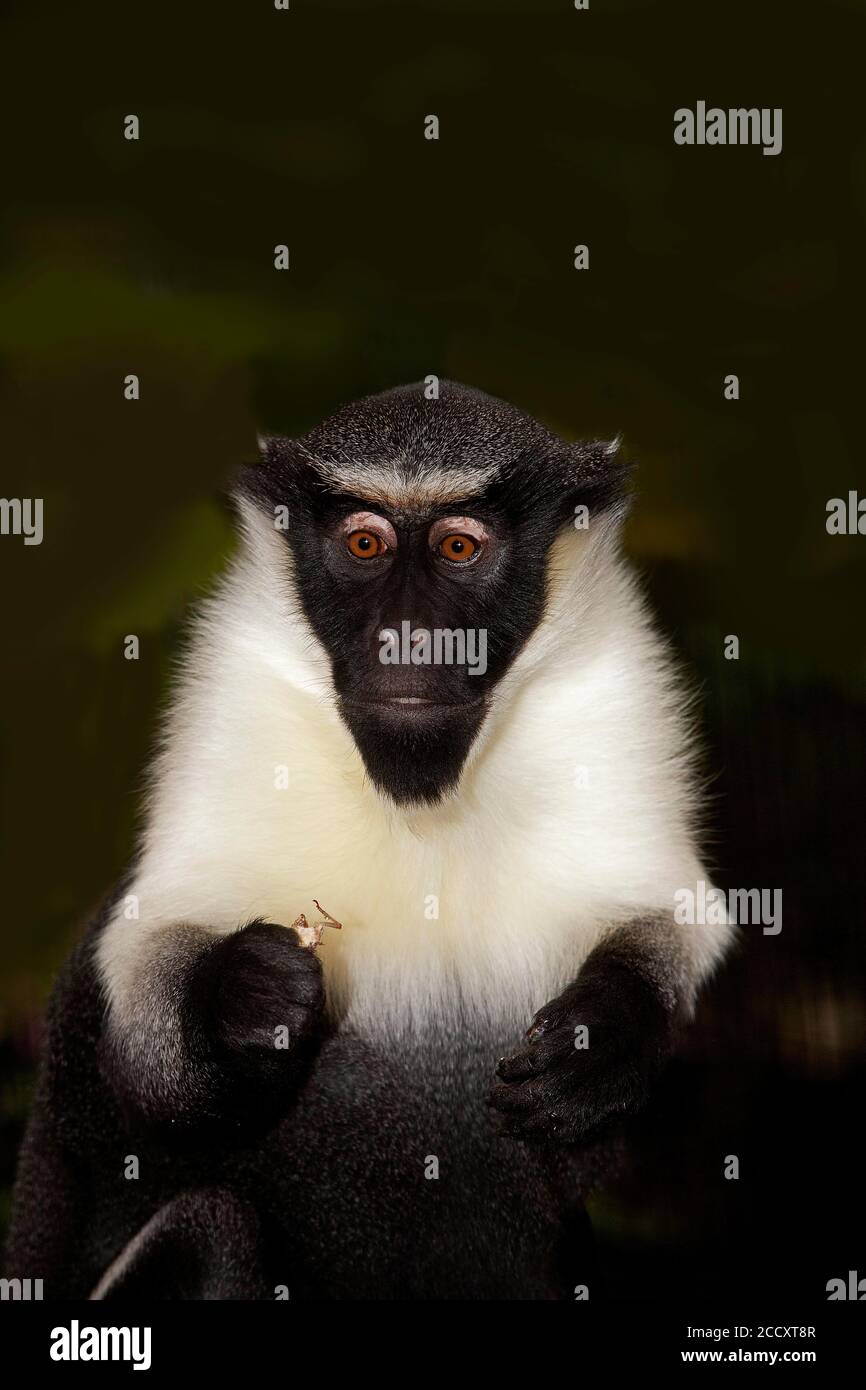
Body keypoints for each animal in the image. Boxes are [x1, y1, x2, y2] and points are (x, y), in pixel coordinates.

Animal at [5, 380, 732, 1300]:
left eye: (459, 546)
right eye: (363, 543)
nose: (409, 634)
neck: (419, 810)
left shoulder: (612, 698)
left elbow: (673, 921)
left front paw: (610, 1027)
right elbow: (147, 1038)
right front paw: (242, 1000)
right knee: (212, 1225)